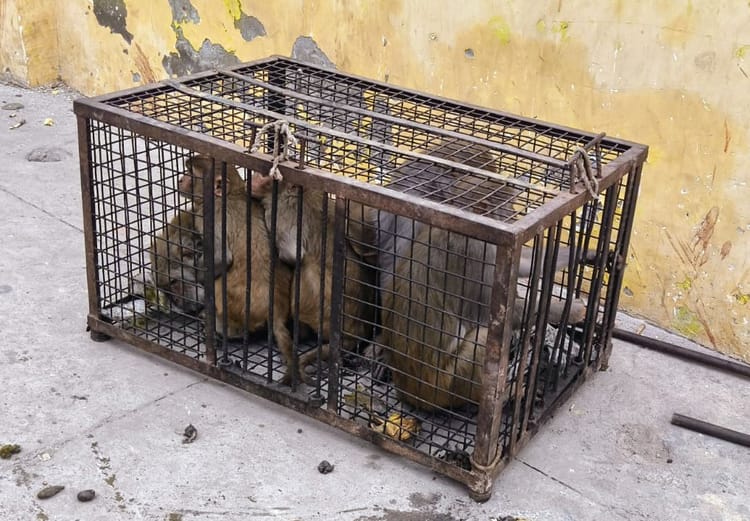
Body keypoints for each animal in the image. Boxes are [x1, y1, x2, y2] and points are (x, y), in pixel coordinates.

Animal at [179, 156, 297, 383]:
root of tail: (276, 309)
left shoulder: (210, 216)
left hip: (235, 308)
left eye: (190, 173)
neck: (230, 193)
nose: (181, 180)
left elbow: (221, 257)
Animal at [249, 174, 376, 382]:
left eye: (266, 179)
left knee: (305, 268)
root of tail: (354, 333)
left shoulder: (282, 209)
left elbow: (292, 254)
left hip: (320, 314)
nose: (253, 179)